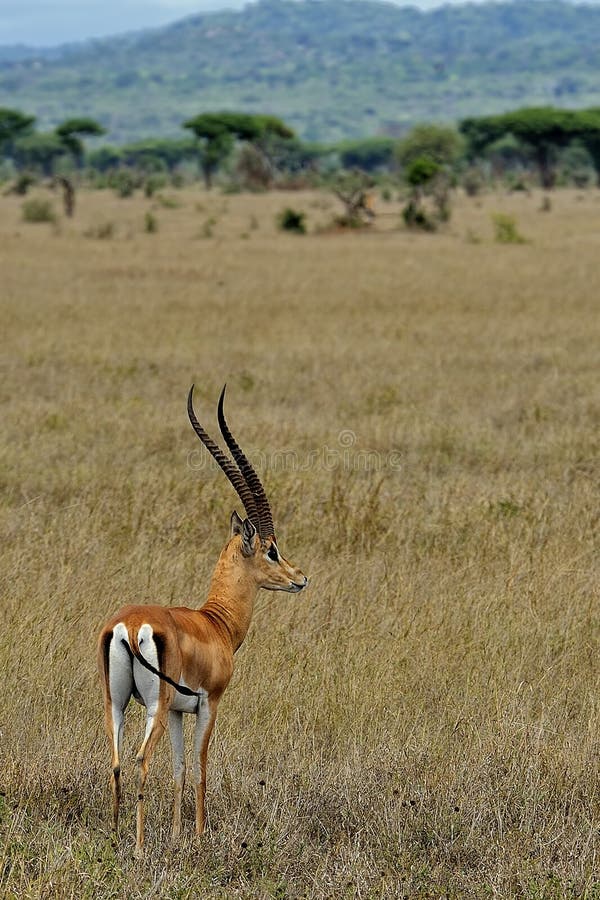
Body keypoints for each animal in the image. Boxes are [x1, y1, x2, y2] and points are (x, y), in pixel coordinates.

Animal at [97, 386, 308, 854]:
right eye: (271, 549)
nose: (301, 578)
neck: (216, 624)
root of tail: (129, 627)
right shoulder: (209, 703)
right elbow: (200, 764)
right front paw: (196, 834)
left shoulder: (179, 712)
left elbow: (178, 769)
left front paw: (177, 835)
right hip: (153, 707)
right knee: (140, 758)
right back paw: (138, 848)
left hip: (116, 702)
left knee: (116, 759)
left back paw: (116, 838)